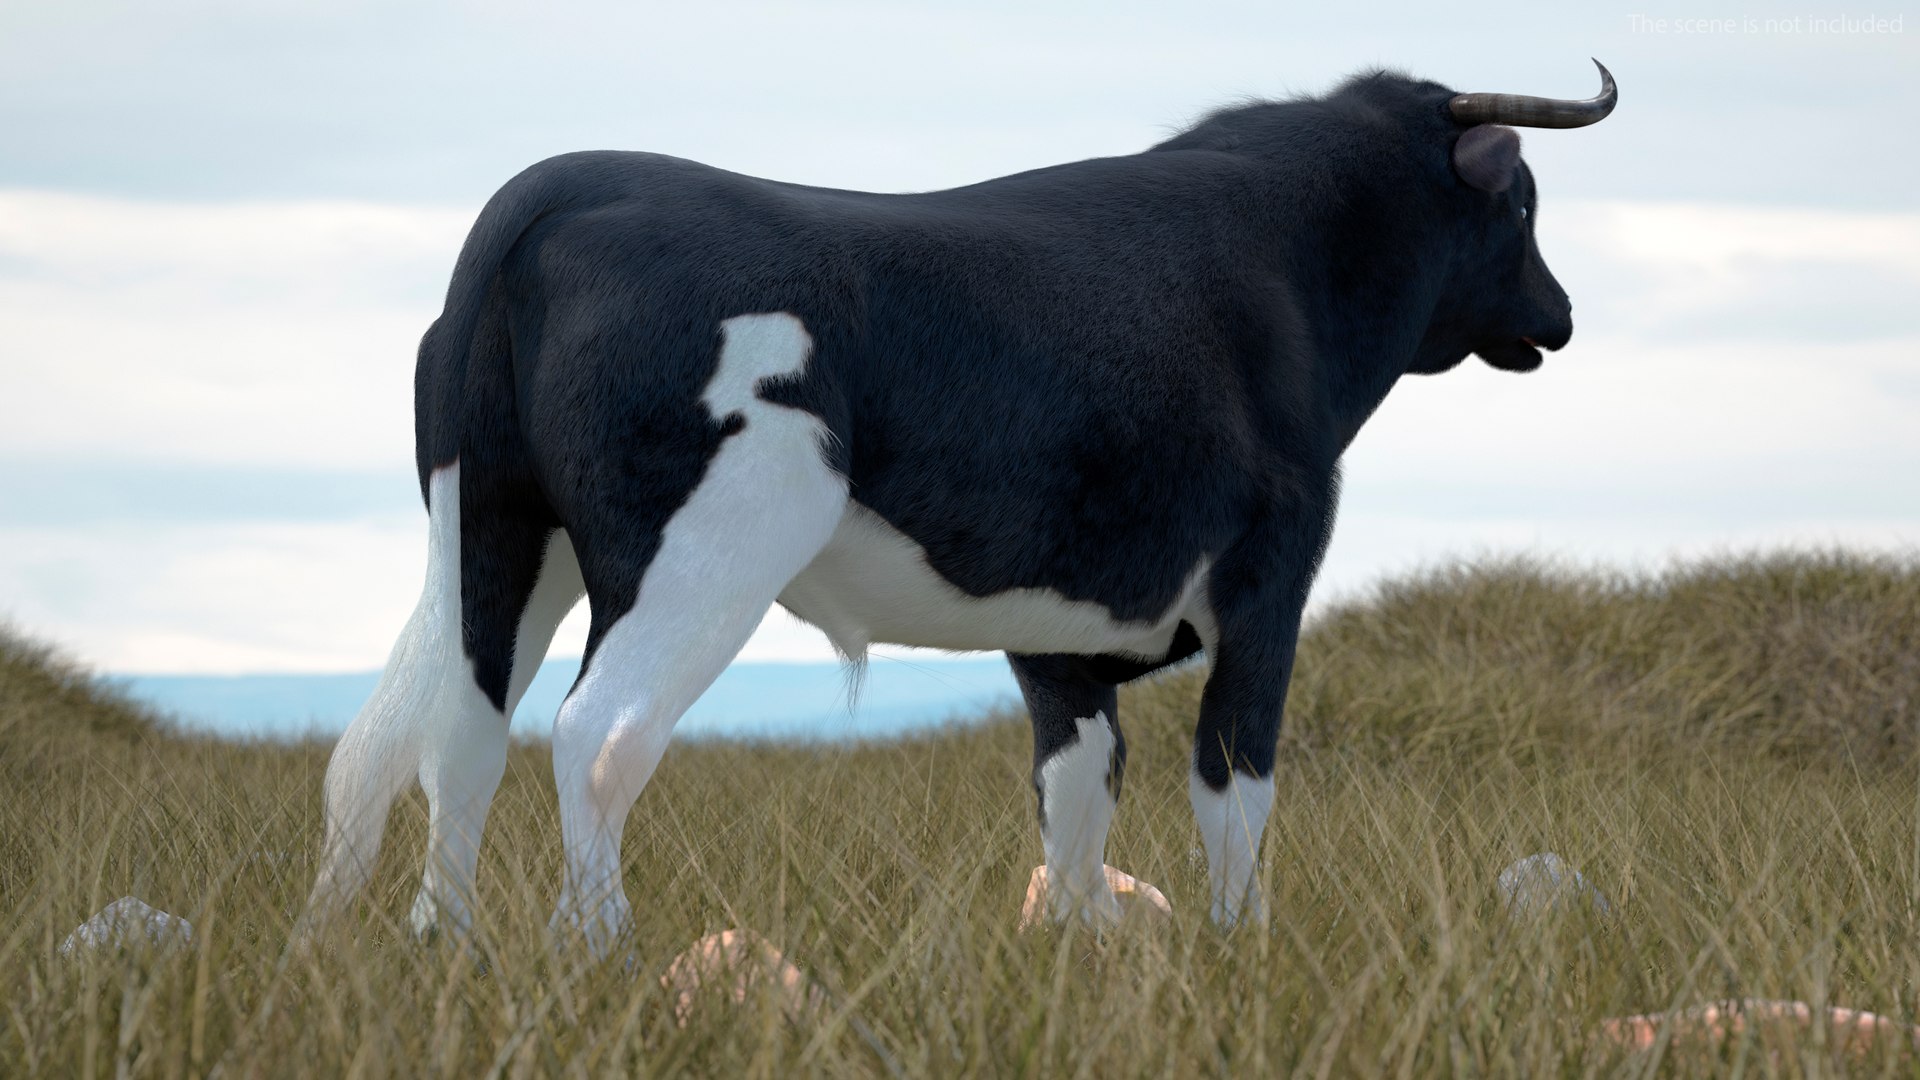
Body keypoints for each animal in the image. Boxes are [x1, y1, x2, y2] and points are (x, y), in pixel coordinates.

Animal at [301, 62, 1617, 954]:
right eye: (1522, 206)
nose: (1557, 315)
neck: (1279, 271)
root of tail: (570, 180)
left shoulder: (1059, 626)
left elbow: (1076, 796)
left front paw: (1081, 958)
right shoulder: (1269, 579)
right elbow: (1235, 777)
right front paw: (1238, 948)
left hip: (498, 529)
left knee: (444, 735)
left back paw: (447, 944)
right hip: (700, 548)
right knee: (599, 734)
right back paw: (602, 950)